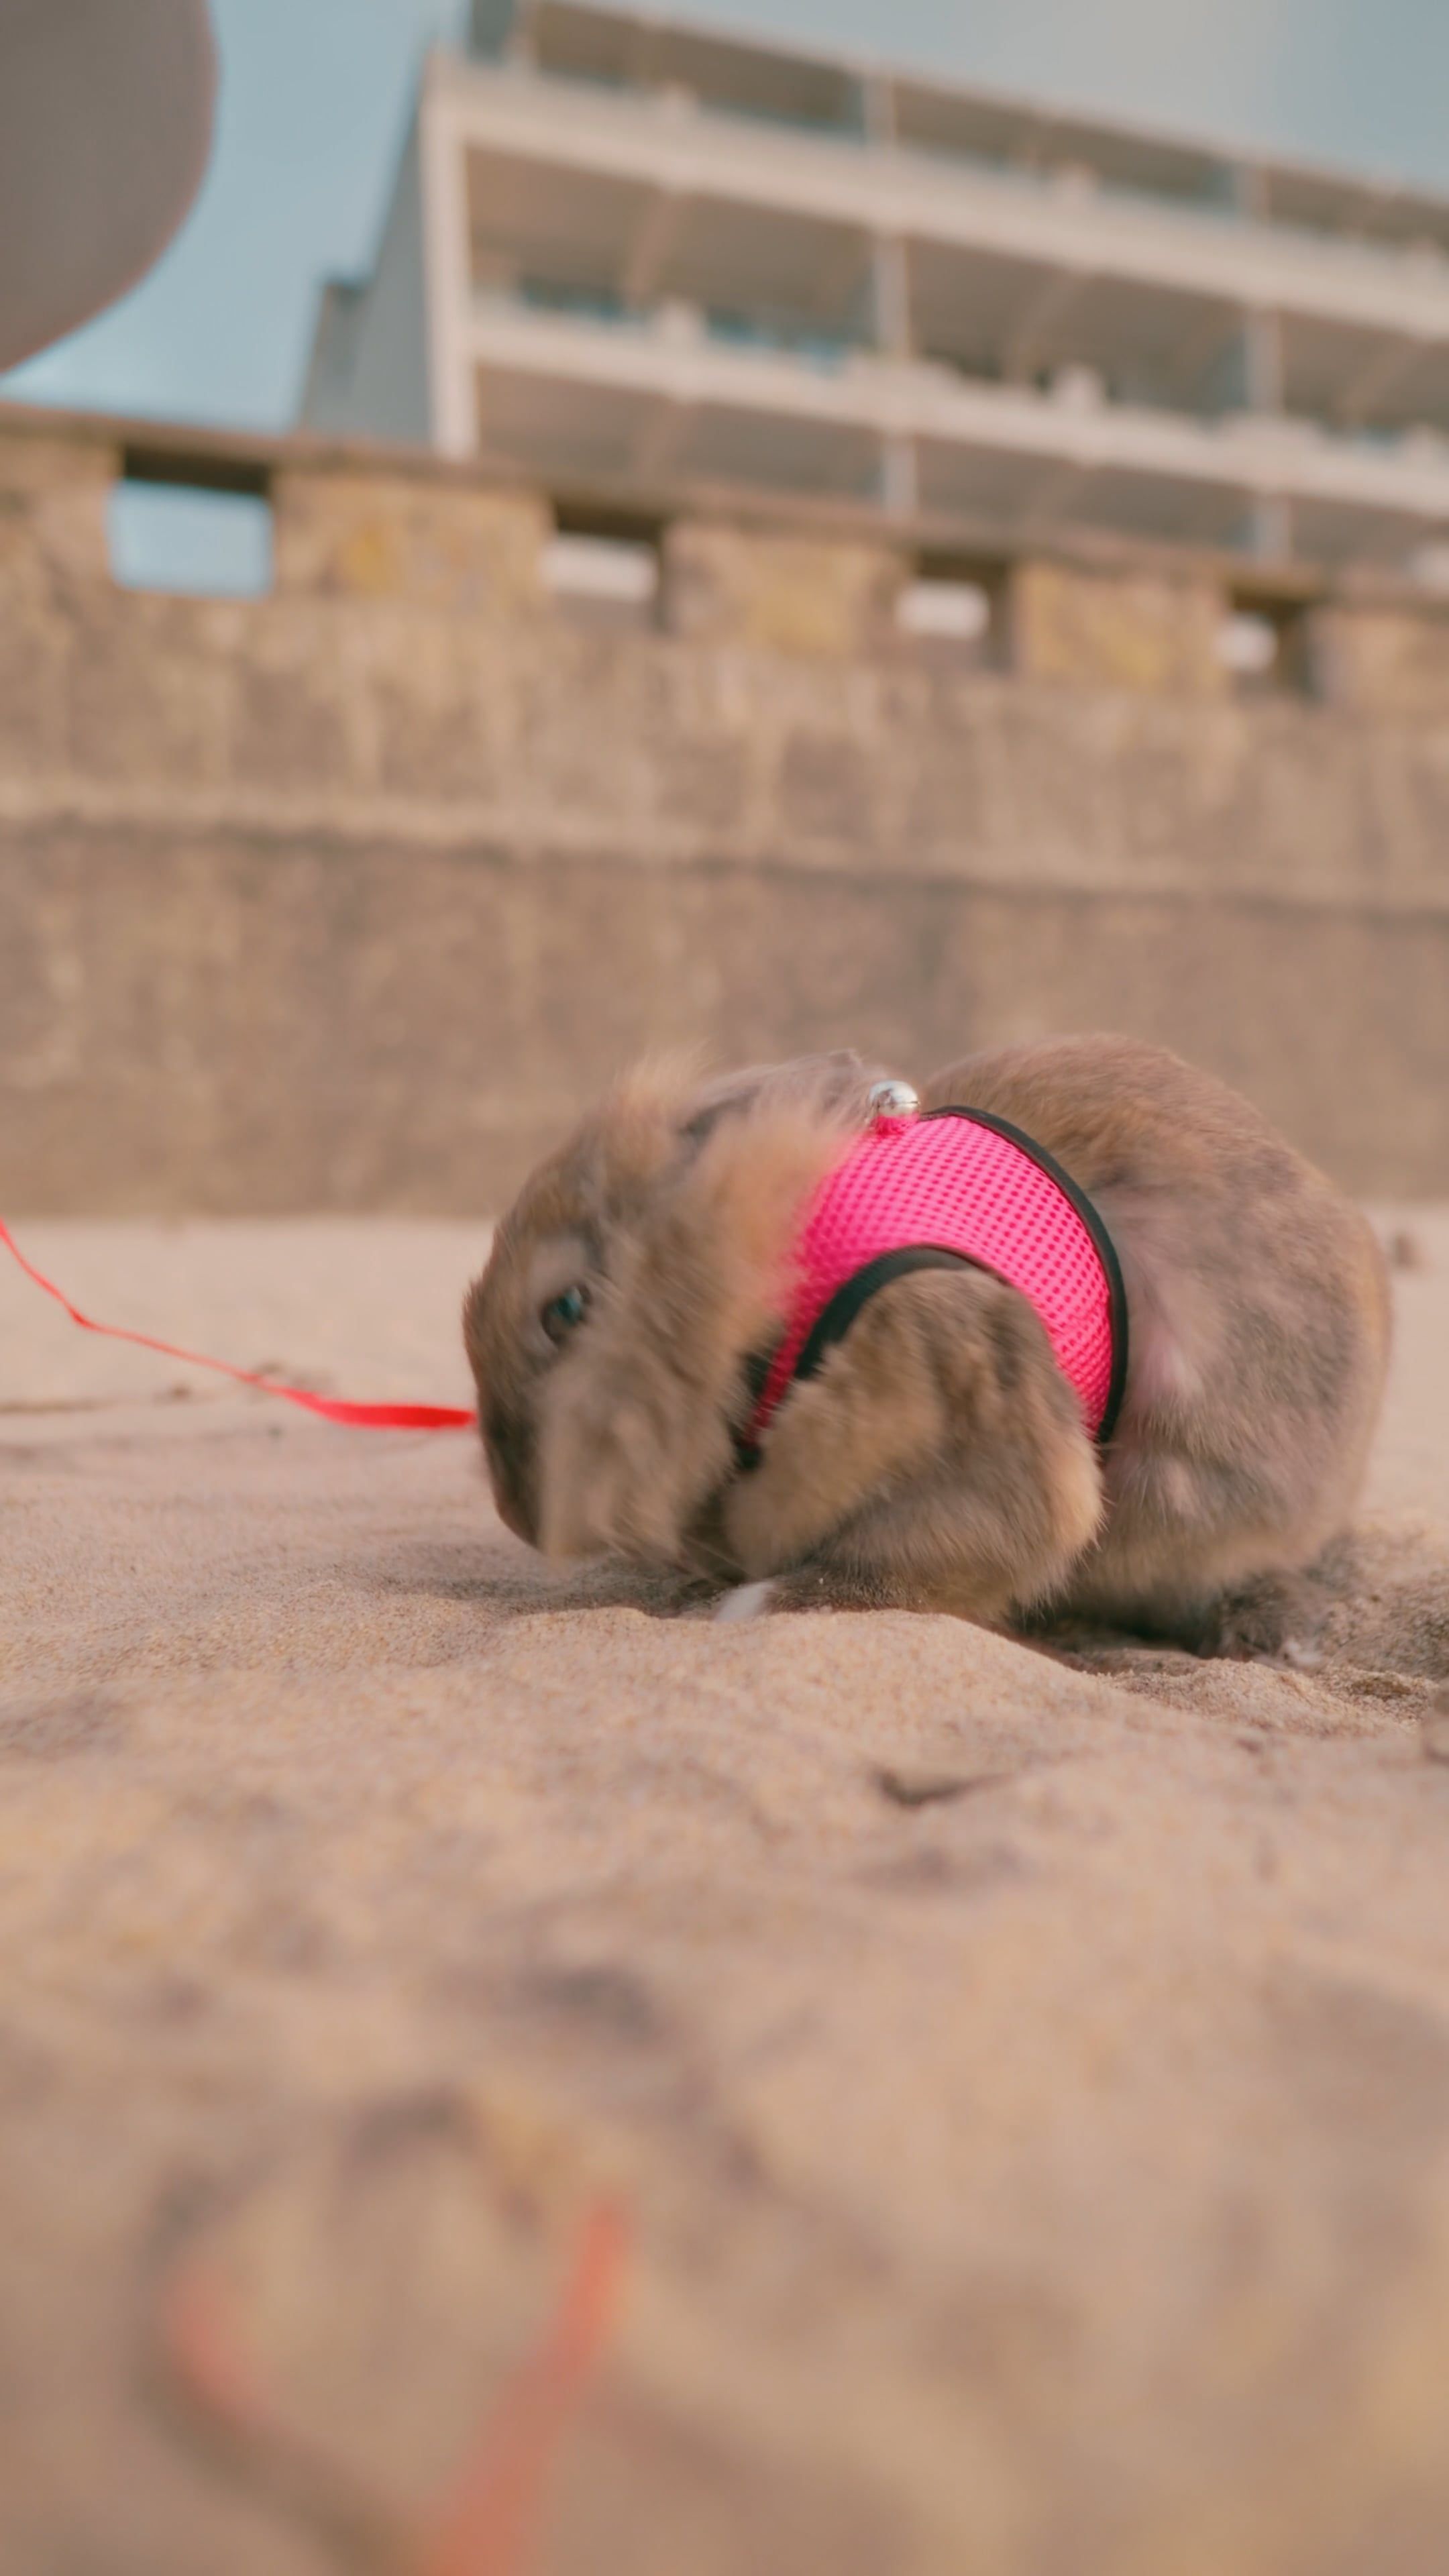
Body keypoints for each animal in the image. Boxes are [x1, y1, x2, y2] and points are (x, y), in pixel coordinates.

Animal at [462, 1036, 1391, 1659]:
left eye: (566, 1309)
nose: (517, 1514)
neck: (761, 1295)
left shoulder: (966, 1402)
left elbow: (927, 1560)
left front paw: (750, 1608)